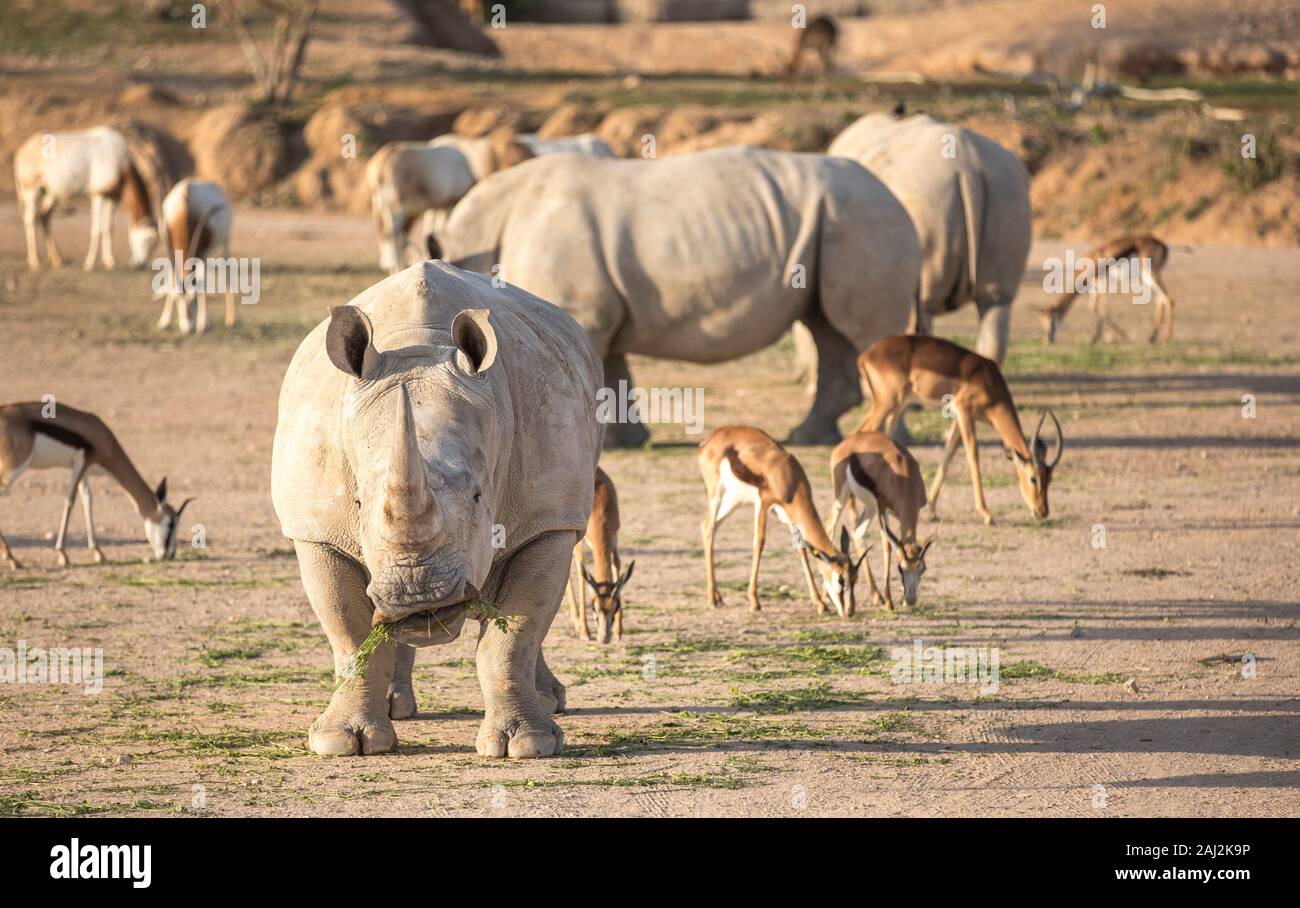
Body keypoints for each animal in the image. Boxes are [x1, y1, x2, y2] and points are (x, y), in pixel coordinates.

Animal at [271, 261, 602, 758]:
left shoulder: (549, 519)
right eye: (358, 502)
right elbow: (351, 633)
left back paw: (548, 702)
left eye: (479, 497)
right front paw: (341, 743)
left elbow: (514, 637)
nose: (416, 595)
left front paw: (526, 745)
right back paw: (395, 704)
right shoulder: (317, 529)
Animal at [435, 145, 920, 446]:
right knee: (825, 327)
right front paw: (630, 440)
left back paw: (887, 441)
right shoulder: (592, 313)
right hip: (841, 219)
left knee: (860, 331)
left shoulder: (581, 309)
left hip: (863, 217)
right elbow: (611, 371)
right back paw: (812, 436)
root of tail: (897, 198)